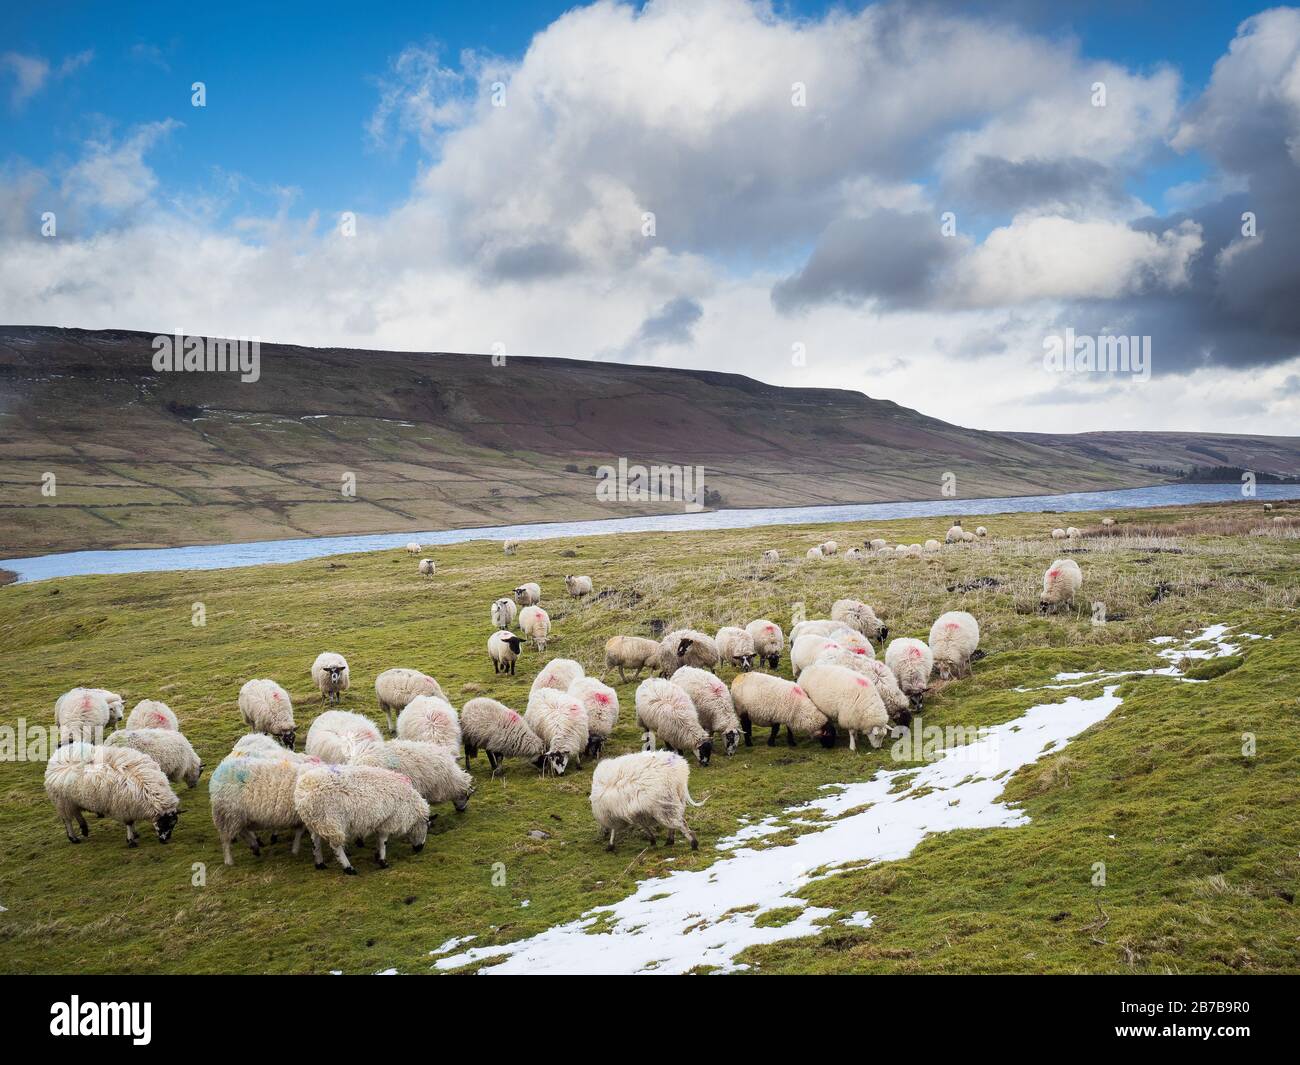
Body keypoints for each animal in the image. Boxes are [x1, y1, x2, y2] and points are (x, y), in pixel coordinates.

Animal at [46, 742, 179, 848]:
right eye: (163, 822)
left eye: (173, 824)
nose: (165, 840)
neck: (146, 786)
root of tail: (57, 756)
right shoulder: (124, 806)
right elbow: (129, 822)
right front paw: (131, 840)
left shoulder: (131, 805)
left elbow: (132, 821)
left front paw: (135, 834)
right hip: (62, 802)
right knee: (68, 820)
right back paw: (73, 838)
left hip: (73, 800)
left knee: (77, 813)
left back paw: (84, 829)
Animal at [294, 764, 430, 874]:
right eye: (427, 827)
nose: (420, 848)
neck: (411, 807)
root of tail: (305, 788)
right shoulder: (390, 821)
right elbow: (383, 841)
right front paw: (383, 861)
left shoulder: (381, 821)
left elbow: (379, 840)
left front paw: (377, 855)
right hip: (332, 821)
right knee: (335, 846)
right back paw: (348, 868)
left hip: (316, 821)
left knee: (315, 842)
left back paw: (320, 864)